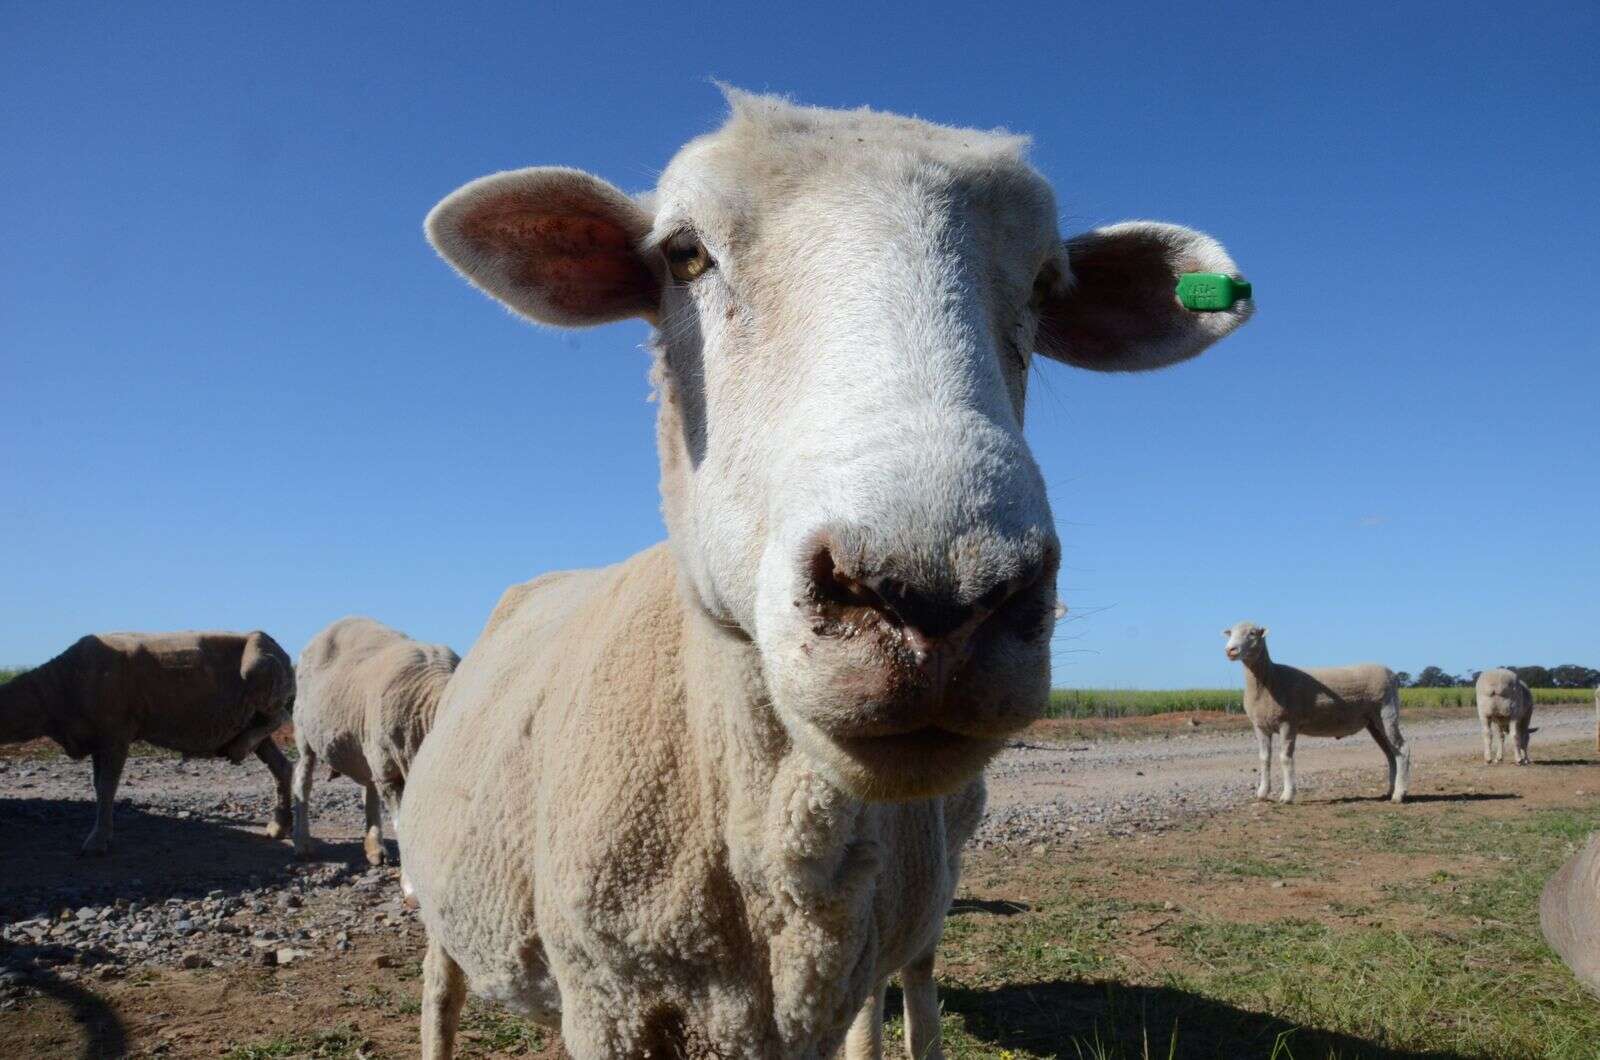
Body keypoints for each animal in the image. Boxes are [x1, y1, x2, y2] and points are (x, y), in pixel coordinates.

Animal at [0, 631, 295, 854]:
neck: (56, 688)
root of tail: (281, 651)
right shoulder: (96, 738)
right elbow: (97, 786)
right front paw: (102, 834)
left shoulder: (115, 734)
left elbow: (106, 787)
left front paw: (97, 841)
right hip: (247, 715)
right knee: (282, 766)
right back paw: (279, 826)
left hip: (261, 671)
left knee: (280, 716)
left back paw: (239, 748)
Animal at [289, 617, 459, 866]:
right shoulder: (391, 774)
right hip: (305, 733)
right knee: (303, 780)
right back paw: (302, 844)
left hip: (364, 743)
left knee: (368, 789)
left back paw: (374, 847)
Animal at [402, 89, 1251, 1059]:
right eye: (683, 254)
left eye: (1045, 286)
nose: (940, 597)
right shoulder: (606, 996)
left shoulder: (832, 987)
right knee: (440, 990)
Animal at [1223, 623, 1409, 804]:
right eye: (1231, 633)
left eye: (1252, 633)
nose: (1230, 650)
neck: (1270, 679)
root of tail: (1393, 675)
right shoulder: (1260, 726)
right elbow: (1264, 758)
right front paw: (1262, 793)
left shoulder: (1288, 722)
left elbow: (1285, 757)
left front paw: (1287, 796)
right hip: (1374, 722)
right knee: (1390, 753)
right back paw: (1390, 791)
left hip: (1387, 712)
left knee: (1402, 749)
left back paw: (1399, 795)